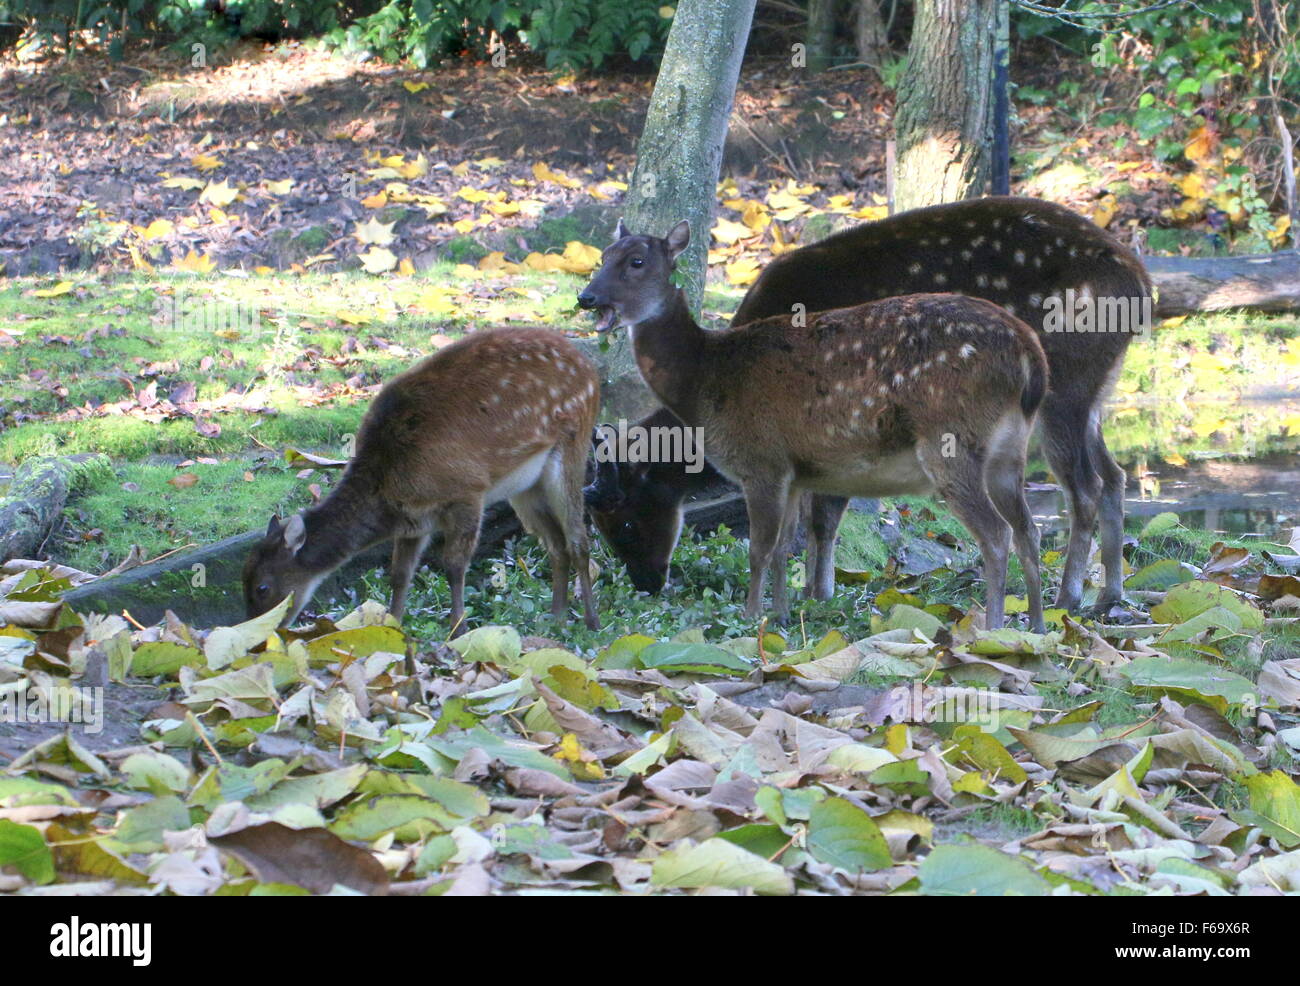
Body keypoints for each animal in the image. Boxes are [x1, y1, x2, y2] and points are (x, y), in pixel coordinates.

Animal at [242, 327, 601, 633]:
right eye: (242, 579)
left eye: (263, 587)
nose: (259, 633)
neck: (391, 487)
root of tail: (591, 370)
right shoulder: (415, 523)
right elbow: (400, 574)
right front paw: (394, 624)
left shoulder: (468, 490)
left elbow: (454, 565)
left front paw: (457, 630)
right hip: (524, 485)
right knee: (556, 544)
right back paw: (555, 618)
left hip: (573, 444)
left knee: (578, 539)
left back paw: (590, 621)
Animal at [586, 197, 1151, 613]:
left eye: (624, 515)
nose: (646, 583)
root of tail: (1143, 286)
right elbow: (815, 519)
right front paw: (813, 594)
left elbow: (822, 516)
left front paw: (815, 594)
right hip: (1095, 390)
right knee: (1114, 475)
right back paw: (1109, 595)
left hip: (1066, 380)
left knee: (1082, 486)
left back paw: (1069, 597)